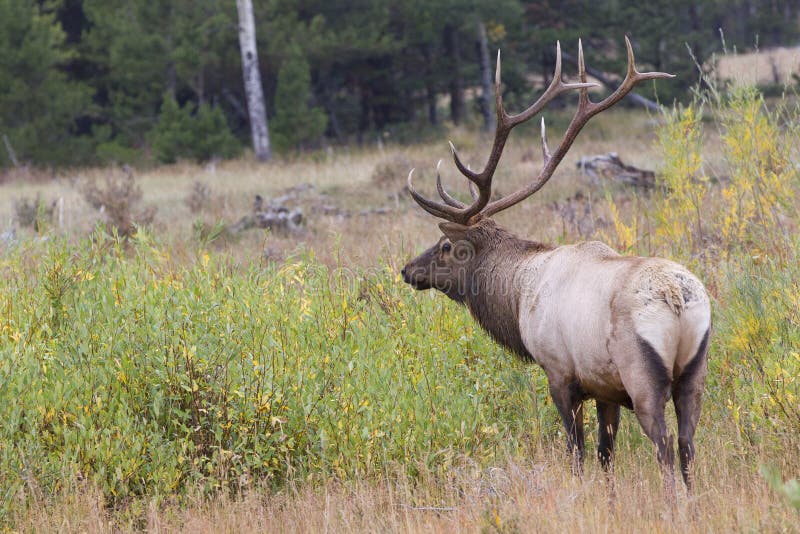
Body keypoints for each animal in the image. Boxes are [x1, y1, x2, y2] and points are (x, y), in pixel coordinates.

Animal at [401, 38, 711, 504]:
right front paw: (609, 501)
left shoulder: (560, 371)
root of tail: (678, 300)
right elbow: (605, 452)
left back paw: (673, 506)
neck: (517, 297)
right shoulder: (604, 386)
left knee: (665, 445)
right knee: (690, 443)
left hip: (643, 374)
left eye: (445, 247)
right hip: (695, 370)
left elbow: (576, 450)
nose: (407, 270)